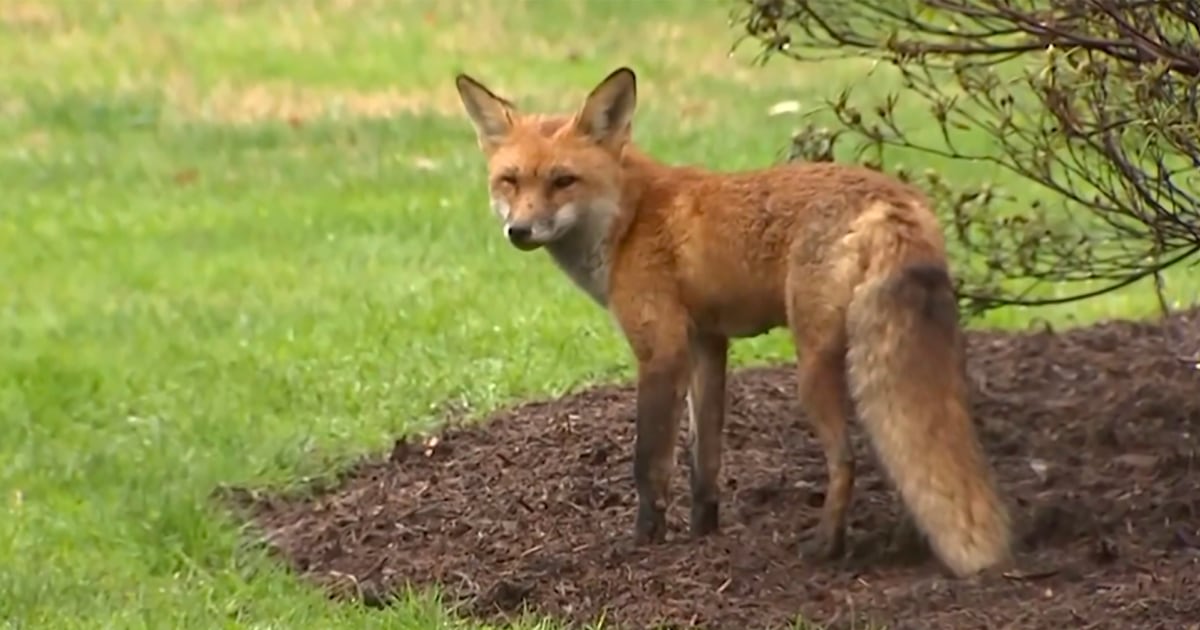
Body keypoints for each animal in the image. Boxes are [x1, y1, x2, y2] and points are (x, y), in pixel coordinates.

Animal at [453, 66, 1013, 577]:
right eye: (510, 181)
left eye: (563, 181)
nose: (519, 230)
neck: (629, 220)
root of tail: (895, 201)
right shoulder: (707, 343)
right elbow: (706, 460)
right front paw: (705, 534)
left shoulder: (661, 350)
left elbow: (649, 464)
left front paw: (644, 544)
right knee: (906, 452)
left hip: (814, 366)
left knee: (848, 459)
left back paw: (826, 547)